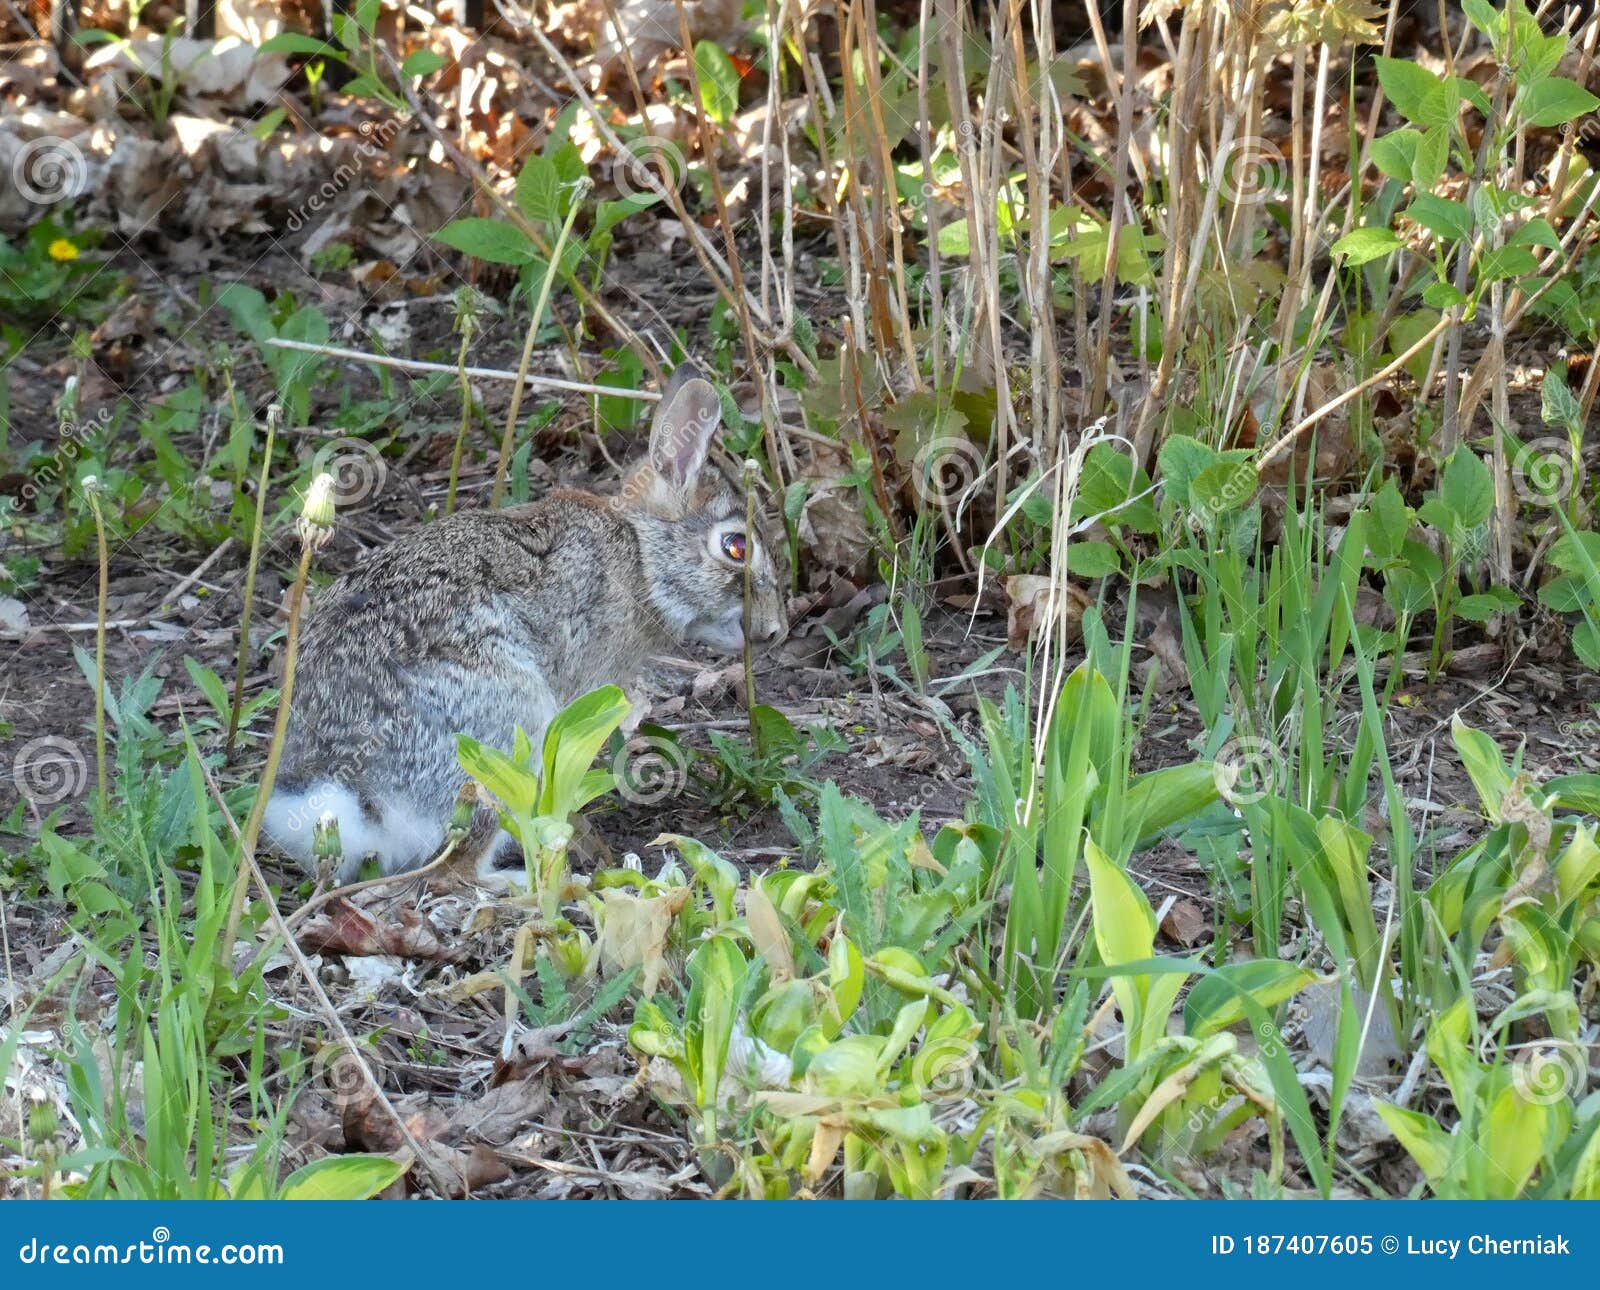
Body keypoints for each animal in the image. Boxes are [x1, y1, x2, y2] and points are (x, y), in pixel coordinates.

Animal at [262, 362, 786, 882]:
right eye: (736, 547)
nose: (774, 630)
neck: (640, 551)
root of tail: (353, 793)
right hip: (507, 725)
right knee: (458, 868)